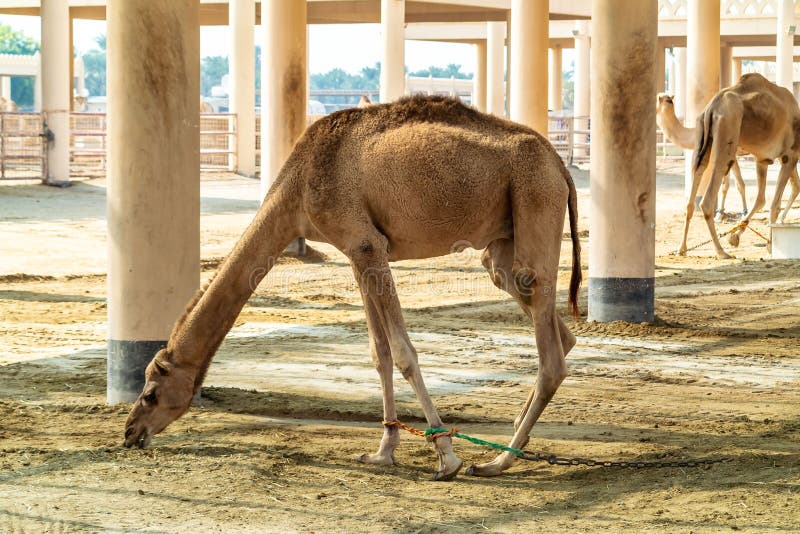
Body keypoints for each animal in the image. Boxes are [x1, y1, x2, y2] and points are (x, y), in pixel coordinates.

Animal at [123, 95, 582, 481]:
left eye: (150, 393)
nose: (130, 433)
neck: (297, 186)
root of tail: (561, 166)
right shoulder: (357, 255)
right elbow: (379, 354)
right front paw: (383, 452)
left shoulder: (366, 243)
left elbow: (404, 353)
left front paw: (446, 457)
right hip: (502, 246)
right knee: (559, 332)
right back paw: (513, 443)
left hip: (535, 200)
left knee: (551, 354)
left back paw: (497, 461)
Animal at [680, 73, 800, 259]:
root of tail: (712, 107)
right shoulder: (790, 155)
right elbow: (775, 203)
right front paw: (771, 244)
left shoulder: (764, 159)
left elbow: (763, 198)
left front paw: (736, 236)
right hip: (727, 134)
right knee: (707, 200)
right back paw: (721, 251)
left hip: (701, 139)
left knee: (693, 191)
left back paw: (683, 248)